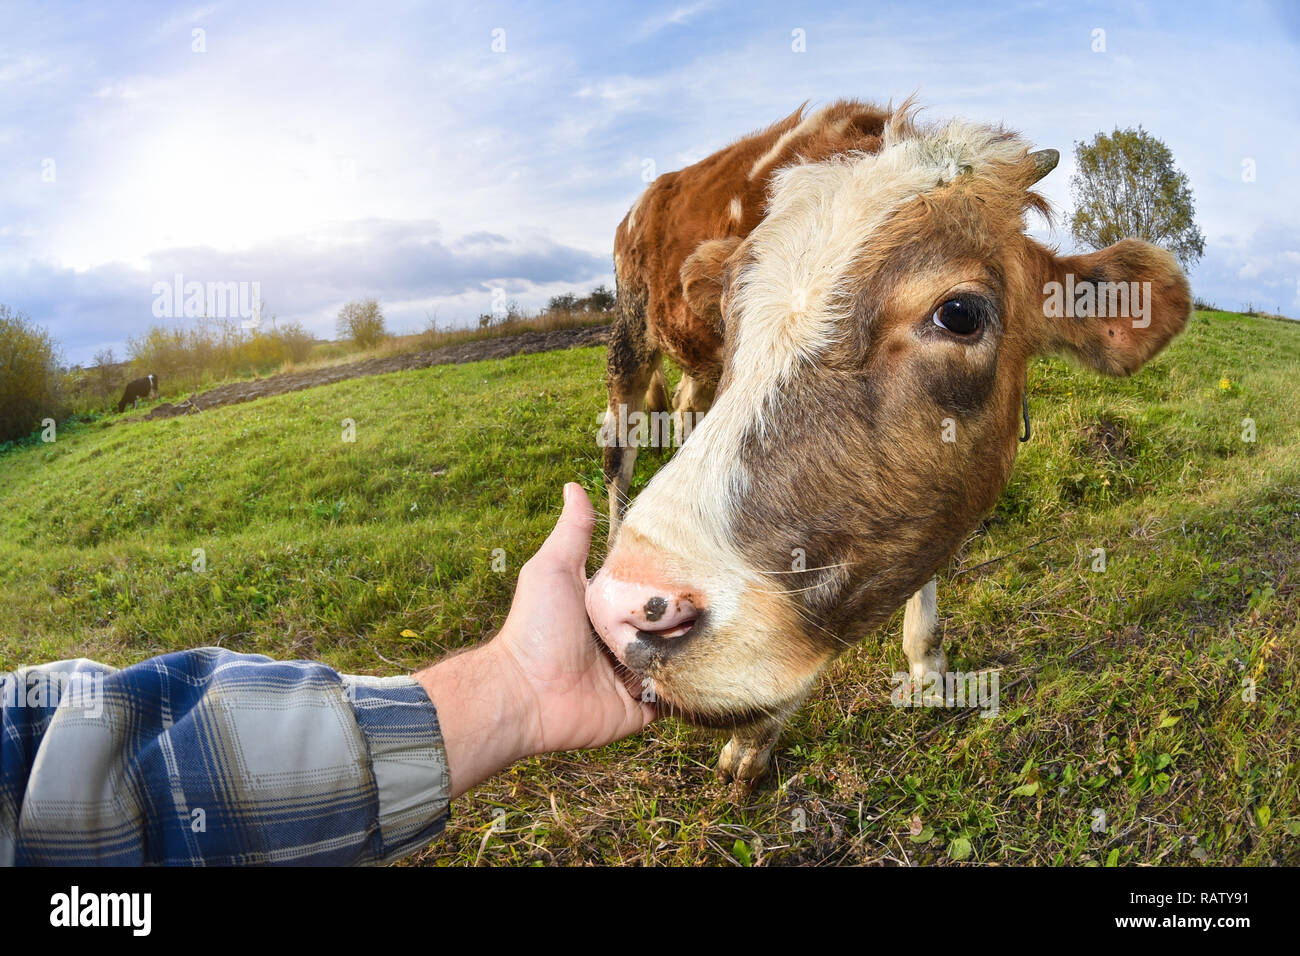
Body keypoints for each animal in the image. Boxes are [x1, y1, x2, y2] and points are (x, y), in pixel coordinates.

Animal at [587, 99, 1190, 789]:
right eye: (733, 313)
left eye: (959, 313)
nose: (625, 605)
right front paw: (755, 737)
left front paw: (927, 666)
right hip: (630, 330)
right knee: (619, 449)